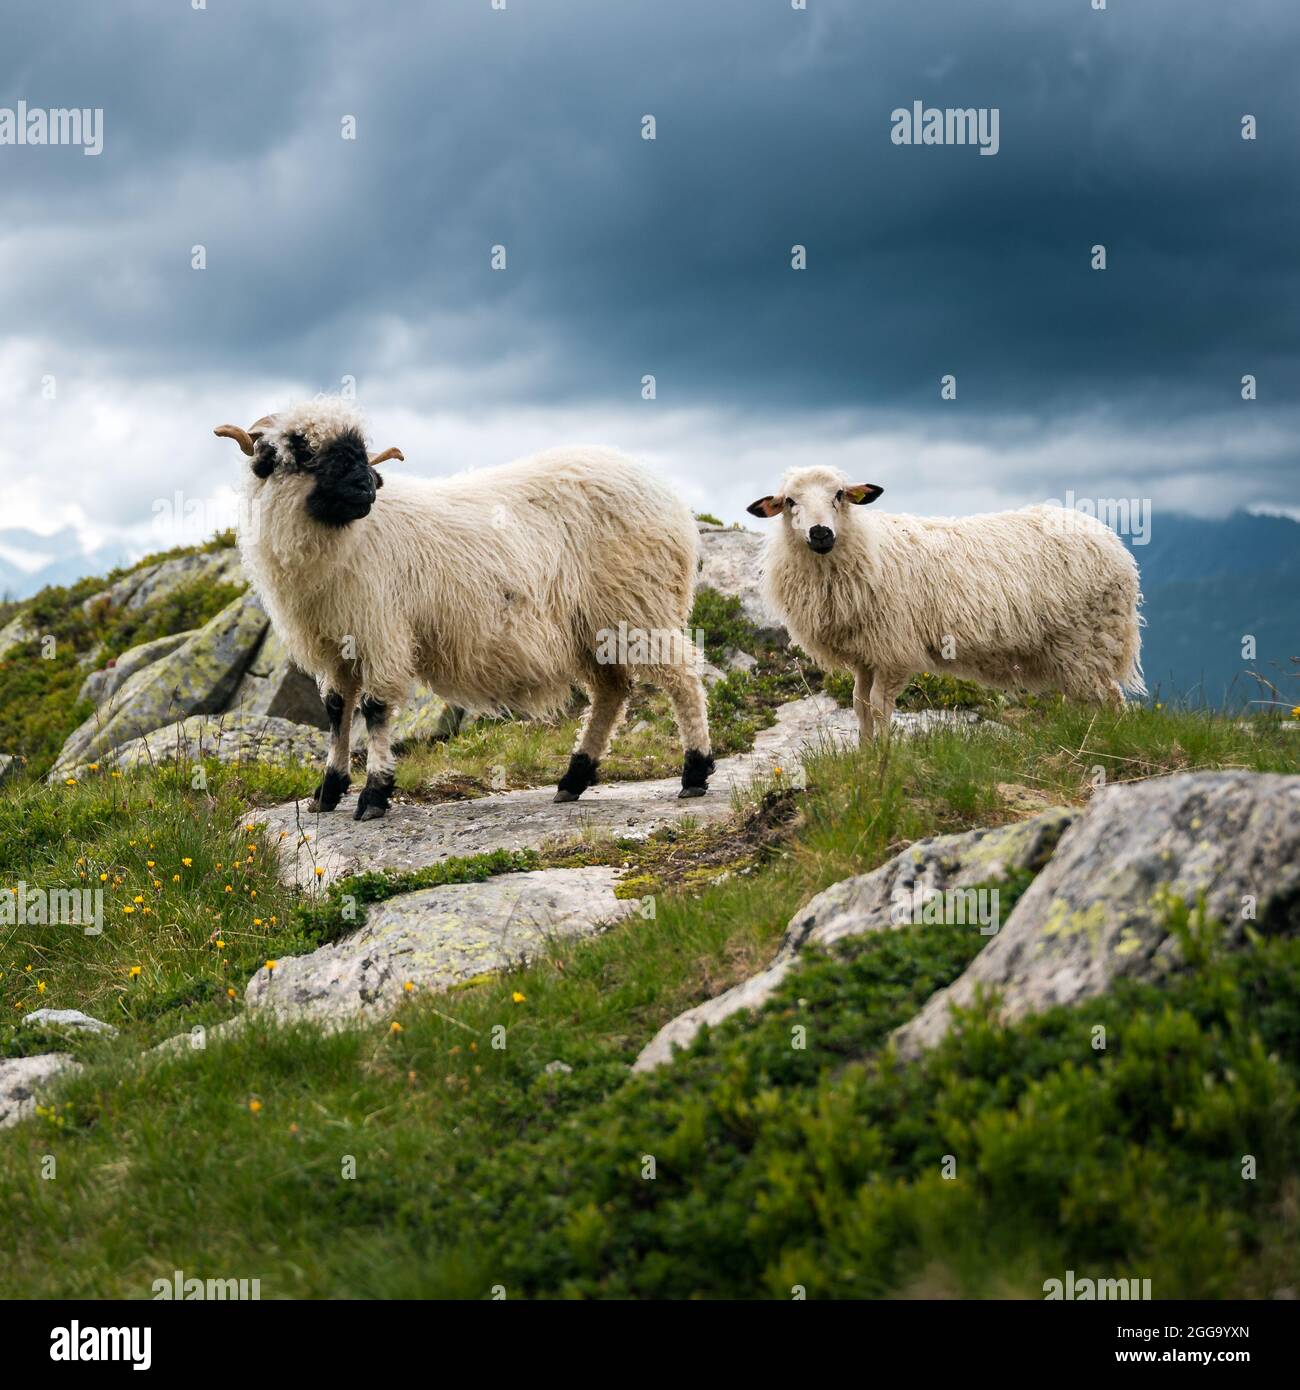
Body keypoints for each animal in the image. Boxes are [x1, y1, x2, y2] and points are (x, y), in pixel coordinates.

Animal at [214, 399, 714, 820]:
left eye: (358, 449)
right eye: (302, 448)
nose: (367, 485)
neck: (341, 539)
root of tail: (664, 490)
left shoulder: (381, 631)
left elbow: (374, 710)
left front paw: (374, 794)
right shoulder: (335, 643)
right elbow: (337, 711)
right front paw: (327, 791)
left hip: (638, 605)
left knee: (682, 676)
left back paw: (695, 771)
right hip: (592, 628)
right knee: (611, 693)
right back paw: (574, 778)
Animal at [746, 465, 1144, 741]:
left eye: (840, 494)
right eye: (790, 502)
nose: (820, 533)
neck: (862, 546)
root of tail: (1113, 543)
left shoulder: (893, 648)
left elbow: (880, 706)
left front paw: (884, 759)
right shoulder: (866, 653)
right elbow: (860, 705)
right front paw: (864, 756)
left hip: (1089, 640)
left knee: (1110, 699)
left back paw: (1106, 743)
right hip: (1074, 651)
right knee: (1087, 700)